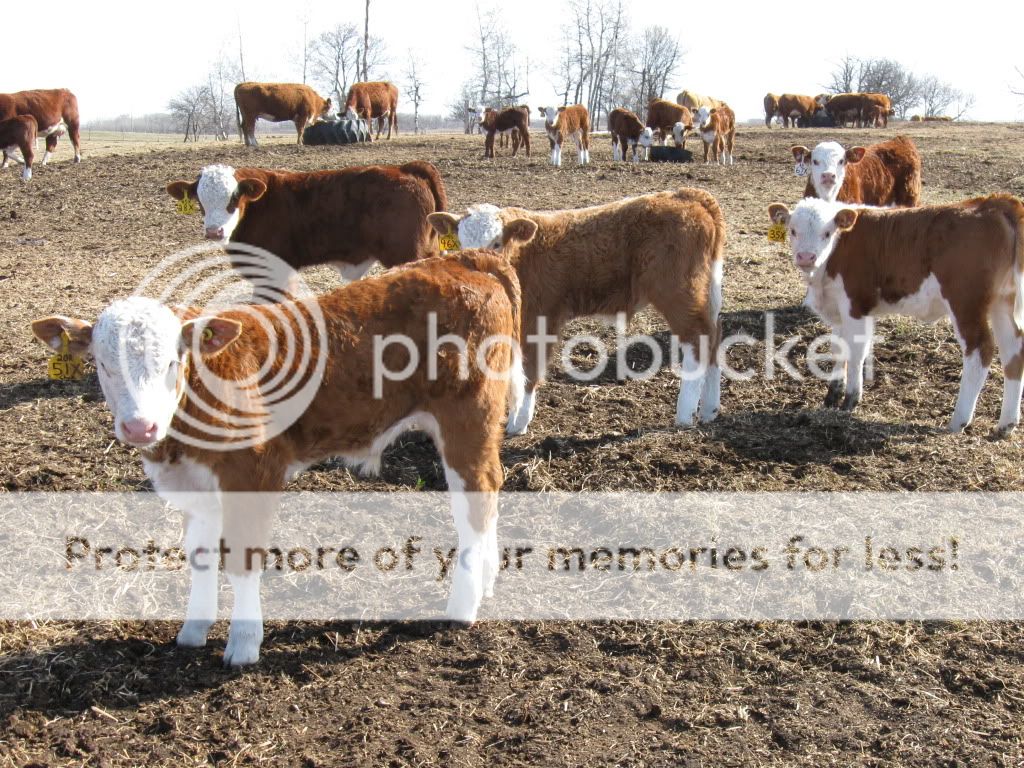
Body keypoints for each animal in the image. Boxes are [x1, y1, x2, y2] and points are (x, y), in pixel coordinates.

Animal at [32, 251, 523, 665]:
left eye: (172, 361)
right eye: (103, 364)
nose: (140, 427)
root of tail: (466, 260)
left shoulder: (251, 473)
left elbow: (241, 558)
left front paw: (244, 644)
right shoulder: (194, 485)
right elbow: (200, 555)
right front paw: (193, 630)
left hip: (466, 419)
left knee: (475, 500)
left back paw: (462, 606)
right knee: (493, 488)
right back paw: (489, 580)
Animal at [428, 188, 727, 434]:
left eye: (496, 243)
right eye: (460, 243)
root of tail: (687, 194)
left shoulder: (539, 319)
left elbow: (529, 370)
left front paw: (520, 422)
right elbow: (513, 371)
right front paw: (511, 416)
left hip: (677, 293)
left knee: (697, 340)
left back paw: (685, 415)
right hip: (706, 292)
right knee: (714, 336)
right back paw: (709, 410)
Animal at [767, 195, 1024, 434]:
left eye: (827, 233)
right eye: (793, 230)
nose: (806, 257)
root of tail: (993, 203)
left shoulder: (856, 305)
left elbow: (856, 352)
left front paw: (850, 400)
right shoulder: (839, 309)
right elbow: (838, 348)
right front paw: (832, 395)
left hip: (966, 302)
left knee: (980, 350)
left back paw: (958, 421)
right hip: (1002, 301)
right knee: (1013, 350)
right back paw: (1006, 425)